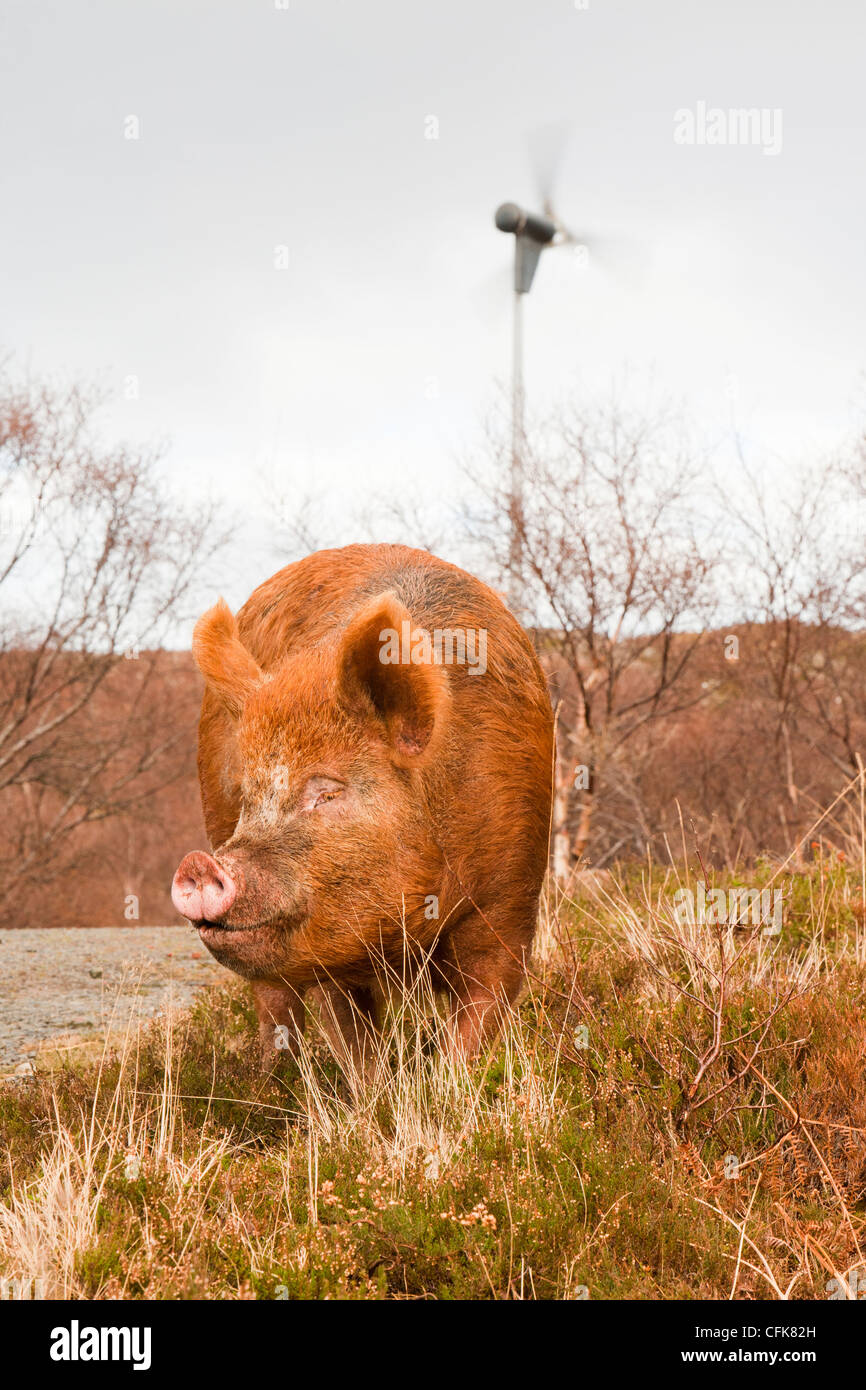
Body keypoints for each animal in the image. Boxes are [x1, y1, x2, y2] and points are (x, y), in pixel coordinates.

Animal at [171, 543, 553, 1073]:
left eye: (328, 792)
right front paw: (377, 1092)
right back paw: (273, 1080)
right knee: (274, 1003)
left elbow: (479, 1016)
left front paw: (448, 1084)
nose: (200, 865)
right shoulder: (330, 943)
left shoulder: (509, 907)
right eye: (250, 796)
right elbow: (353, 1039)